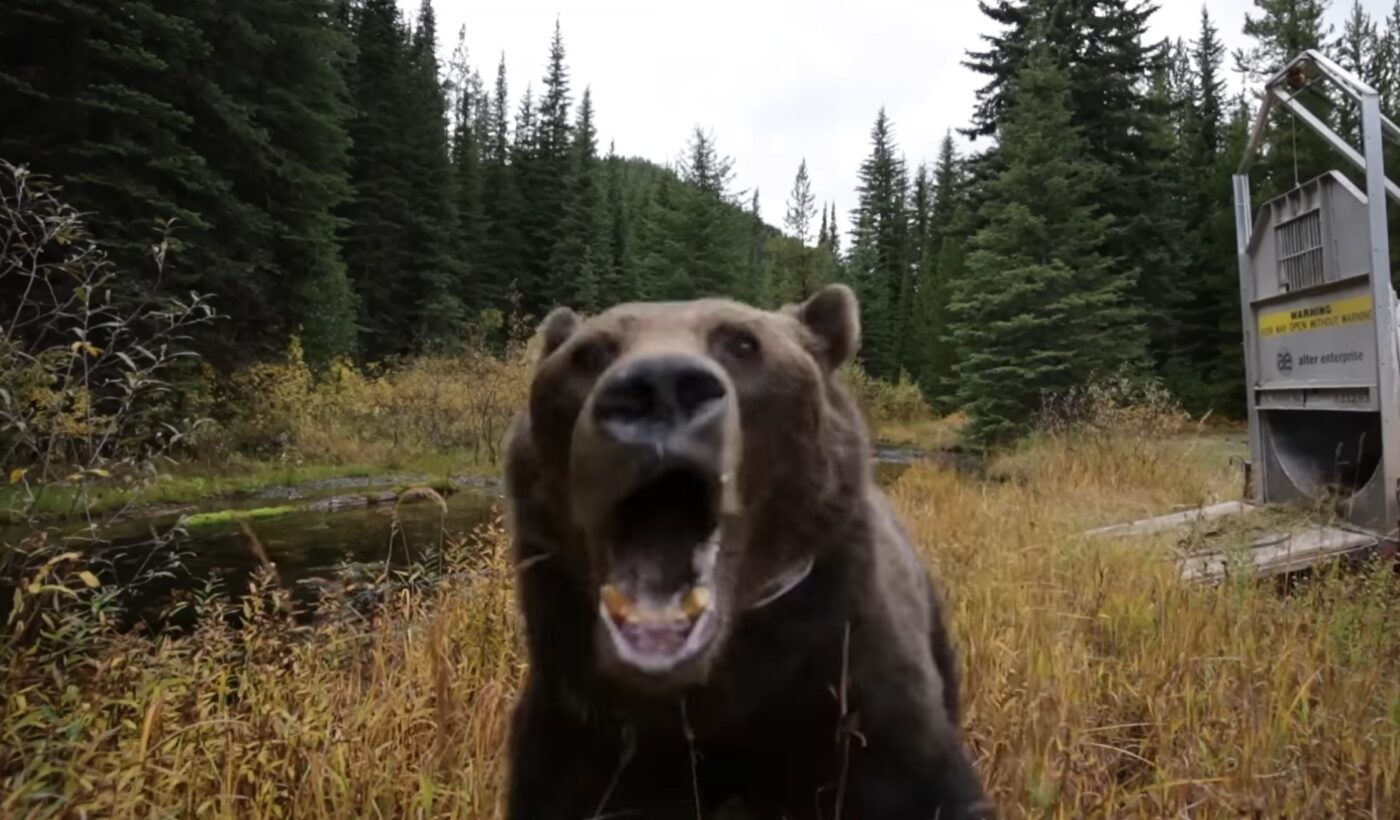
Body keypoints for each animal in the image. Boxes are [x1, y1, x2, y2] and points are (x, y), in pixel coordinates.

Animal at [501, 284, 991, 819]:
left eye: (741, 343)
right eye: (589, 353)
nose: (657, 387)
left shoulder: (856, 699)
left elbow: (922, 786)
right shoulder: (580, 733)